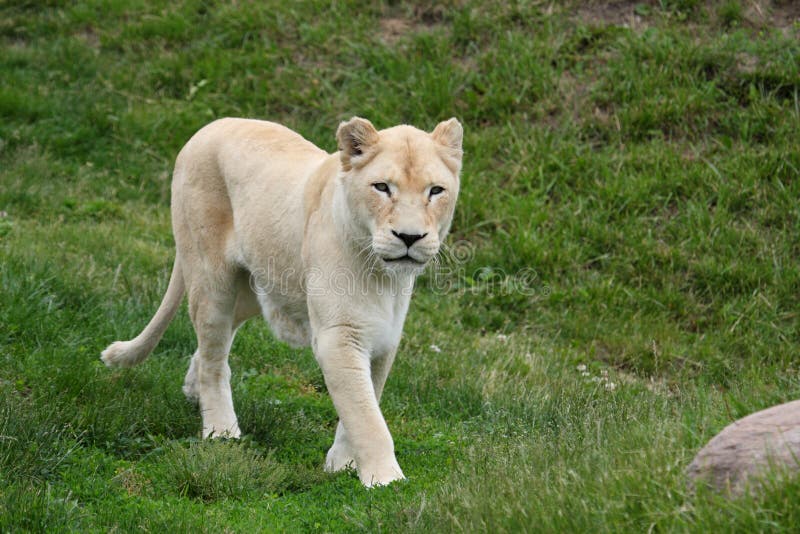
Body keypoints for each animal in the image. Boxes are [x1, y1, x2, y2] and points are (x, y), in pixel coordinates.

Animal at [100, 116, 463, 487]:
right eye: (382, 187)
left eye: (435, 191)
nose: (409, 237)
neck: (382, 275)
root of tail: (208, 127)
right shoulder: (339, 336)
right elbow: (366, 416)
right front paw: (386, 480)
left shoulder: (384, 337)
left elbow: (366, 400)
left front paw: (342, 464)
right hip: (212, 278)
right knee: (214, 357)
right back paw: (221, 429)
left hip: (251, 289)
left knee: (210, 346)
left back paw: (193, 391)